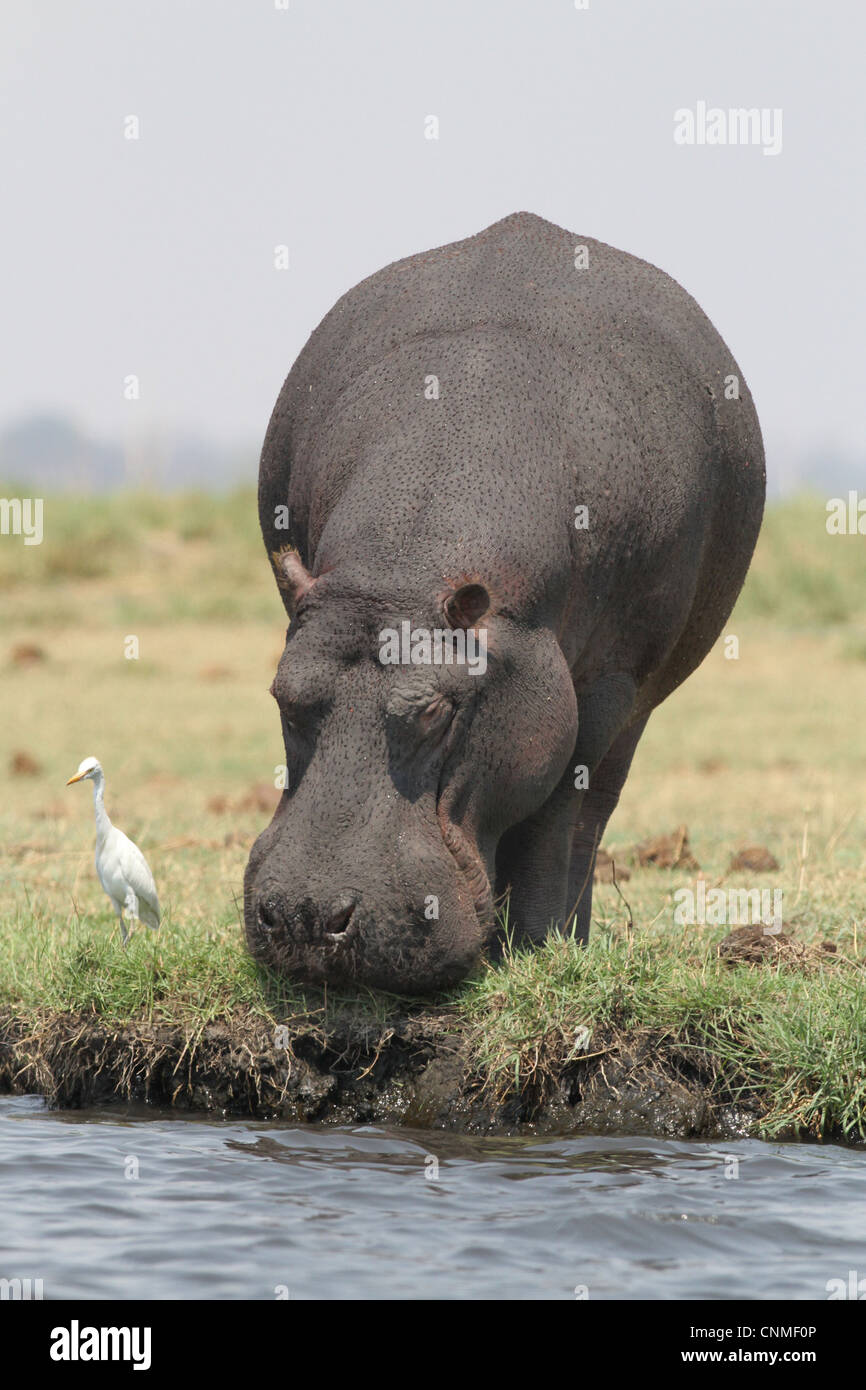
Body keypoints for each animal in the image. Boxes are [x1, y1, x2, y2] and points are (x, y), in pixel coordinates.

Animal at [244, 212, 765, 994]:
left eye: (437, 710)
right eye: (283, 697)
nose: (307, 916)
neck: (405, 565)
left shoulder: (602, 685)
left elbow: (559, 816)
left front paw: (539, 949)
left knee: (593, 810)